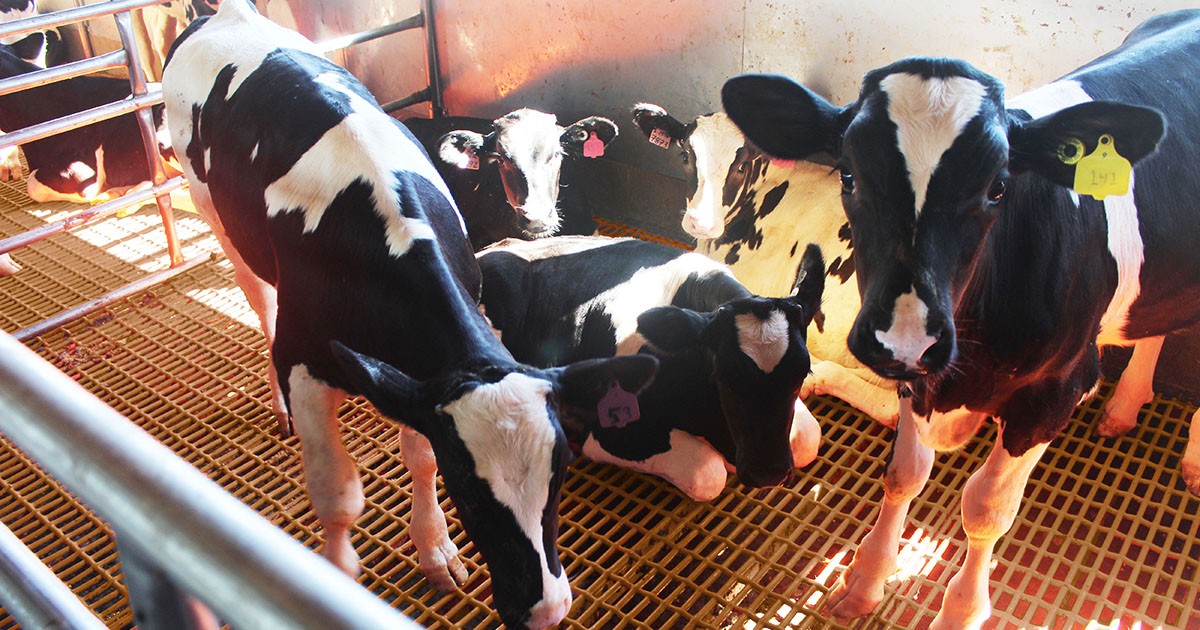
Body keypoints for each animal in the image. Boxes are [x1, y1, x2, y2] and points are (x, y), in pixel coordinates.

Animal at [477, 235, 825, 500]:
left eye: (801, 375)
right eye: (725, 379)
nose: (769, 472)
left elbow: (809, 437)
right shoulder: (608, 431)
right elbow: (708, 474)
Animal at [722, 9, 1200, 628]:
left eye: (998, 187)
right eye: (849, 176)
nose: (904, 336)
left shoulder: (1056, 390)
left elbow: (986, 508)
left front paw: (962, 610)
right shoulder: (915, 374)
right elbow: (903, 474)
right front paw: (866, 580)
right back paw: (1125, 404)